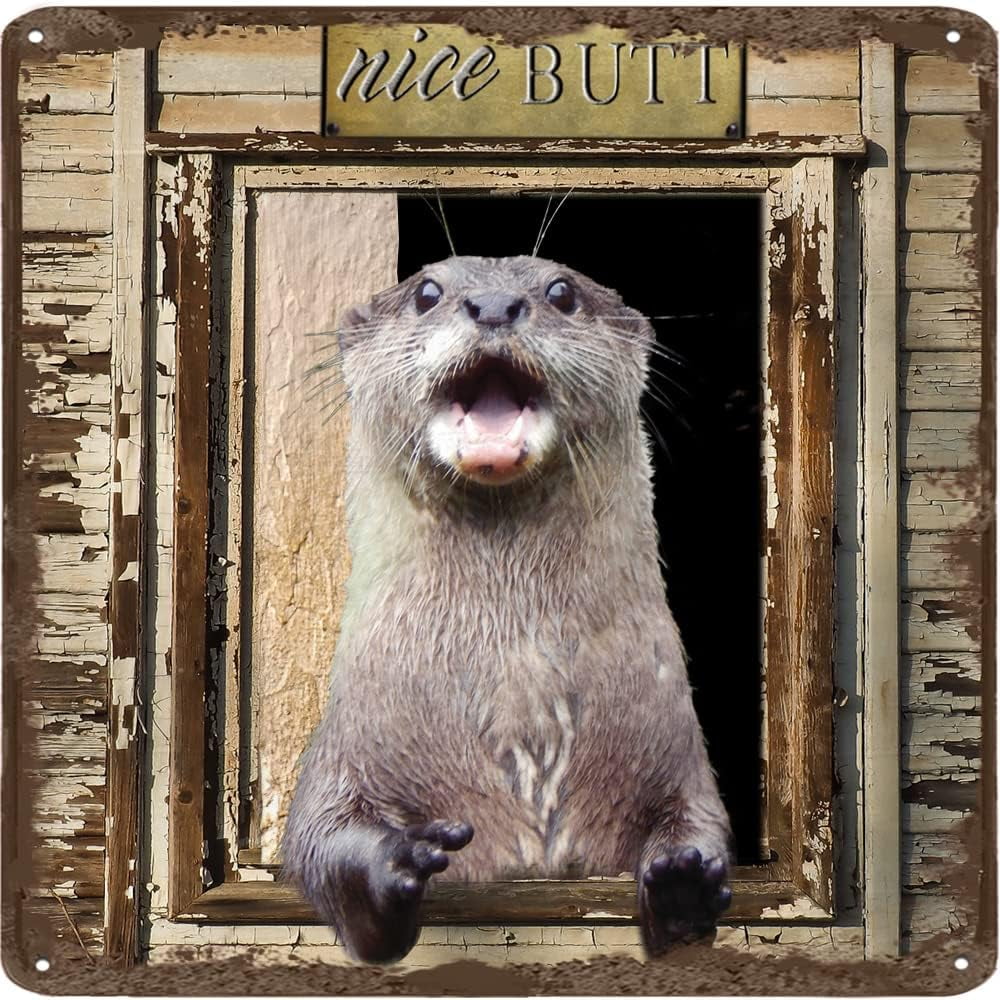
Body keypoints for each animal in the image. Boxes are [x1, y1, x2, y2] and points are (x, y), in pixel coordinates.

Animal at [282, 255, 732, 963]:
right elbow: (318, 840)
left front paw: (684, 881)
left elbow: (701, 821)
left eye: (562, 292)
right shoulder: (348, 745)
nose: (494, 304)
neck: (521, 696)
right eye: (427, 292)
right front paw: (398, 855)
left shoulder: (677, 754)